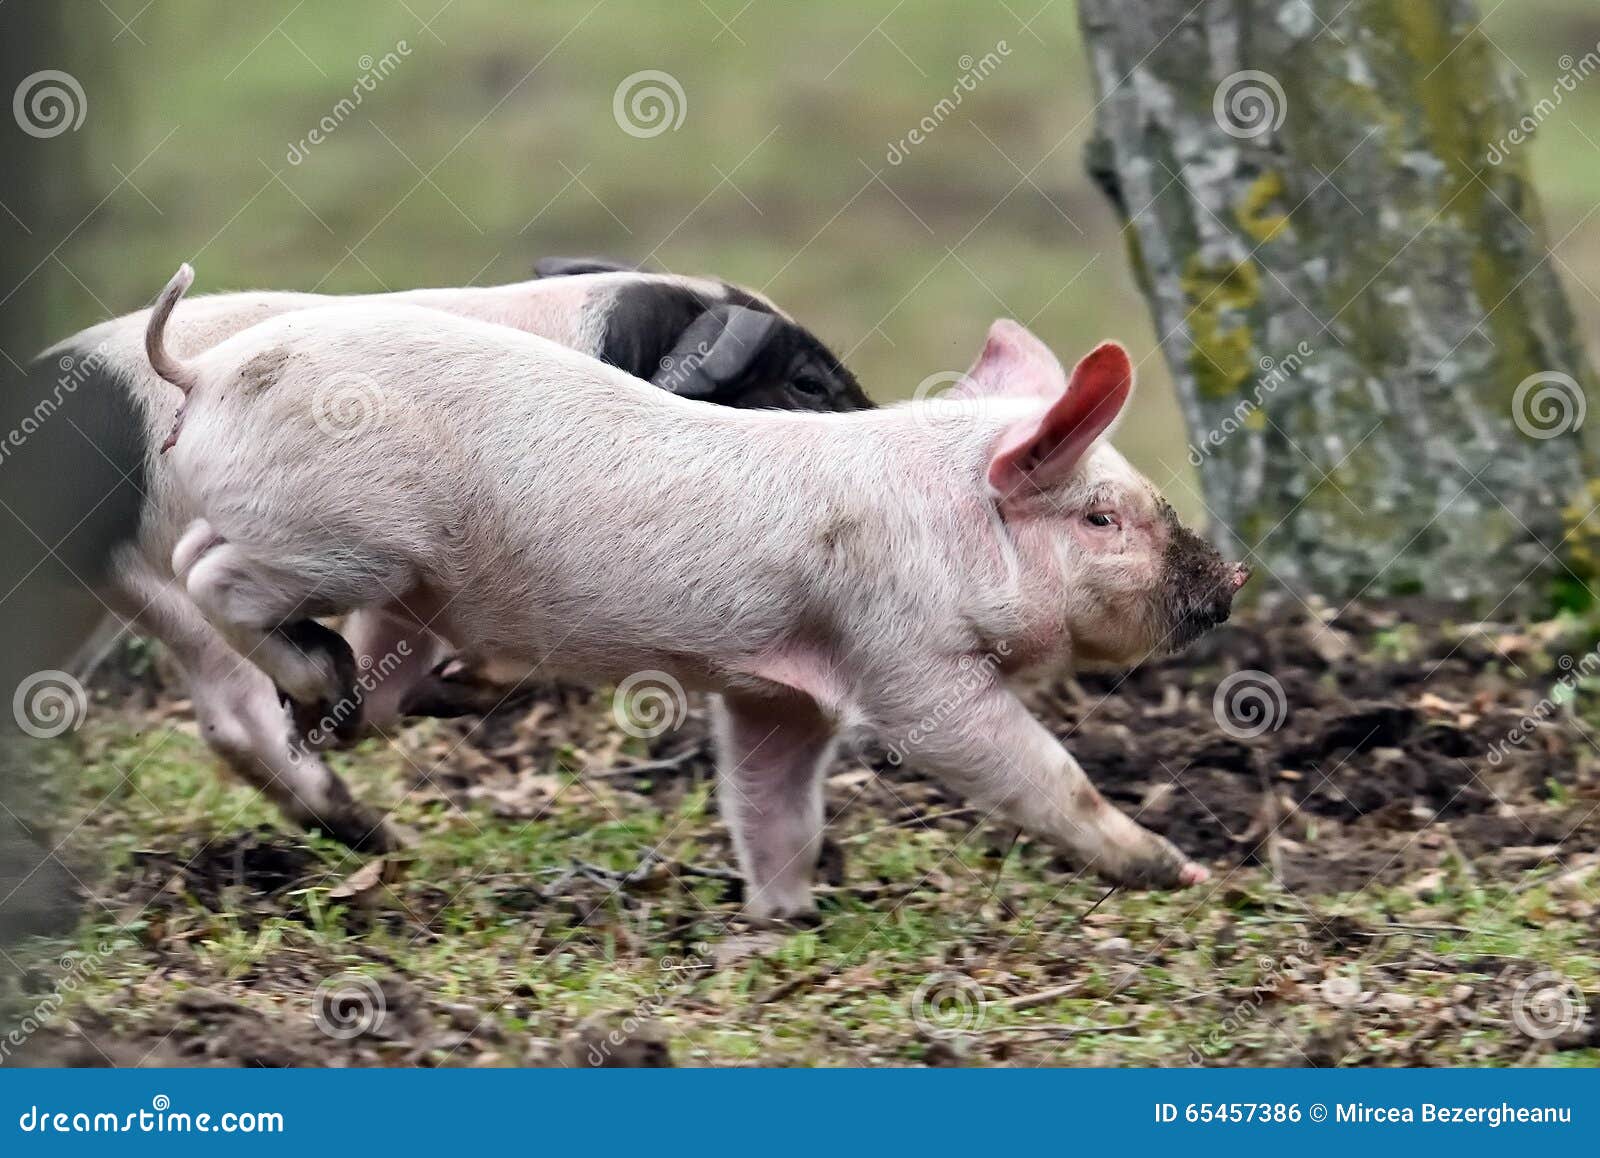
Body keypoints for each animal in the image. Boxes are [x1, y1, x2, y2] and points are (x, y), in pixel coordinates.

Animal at [147, 262, 1249, 915]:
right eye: (1101, 518)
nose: (1229, 575)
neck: (939, 519)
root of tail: (205, 372)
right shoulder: (905, 657)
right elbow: (1021, 763)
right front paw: (1179, 871)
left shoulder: (779, 694)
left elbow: (772, 802)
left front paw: (784, 915)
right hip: (343, 542)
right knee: (204, 572)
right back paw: (316, 671)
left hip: (399, 584)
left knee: (283, 616)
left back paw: (339, 701)